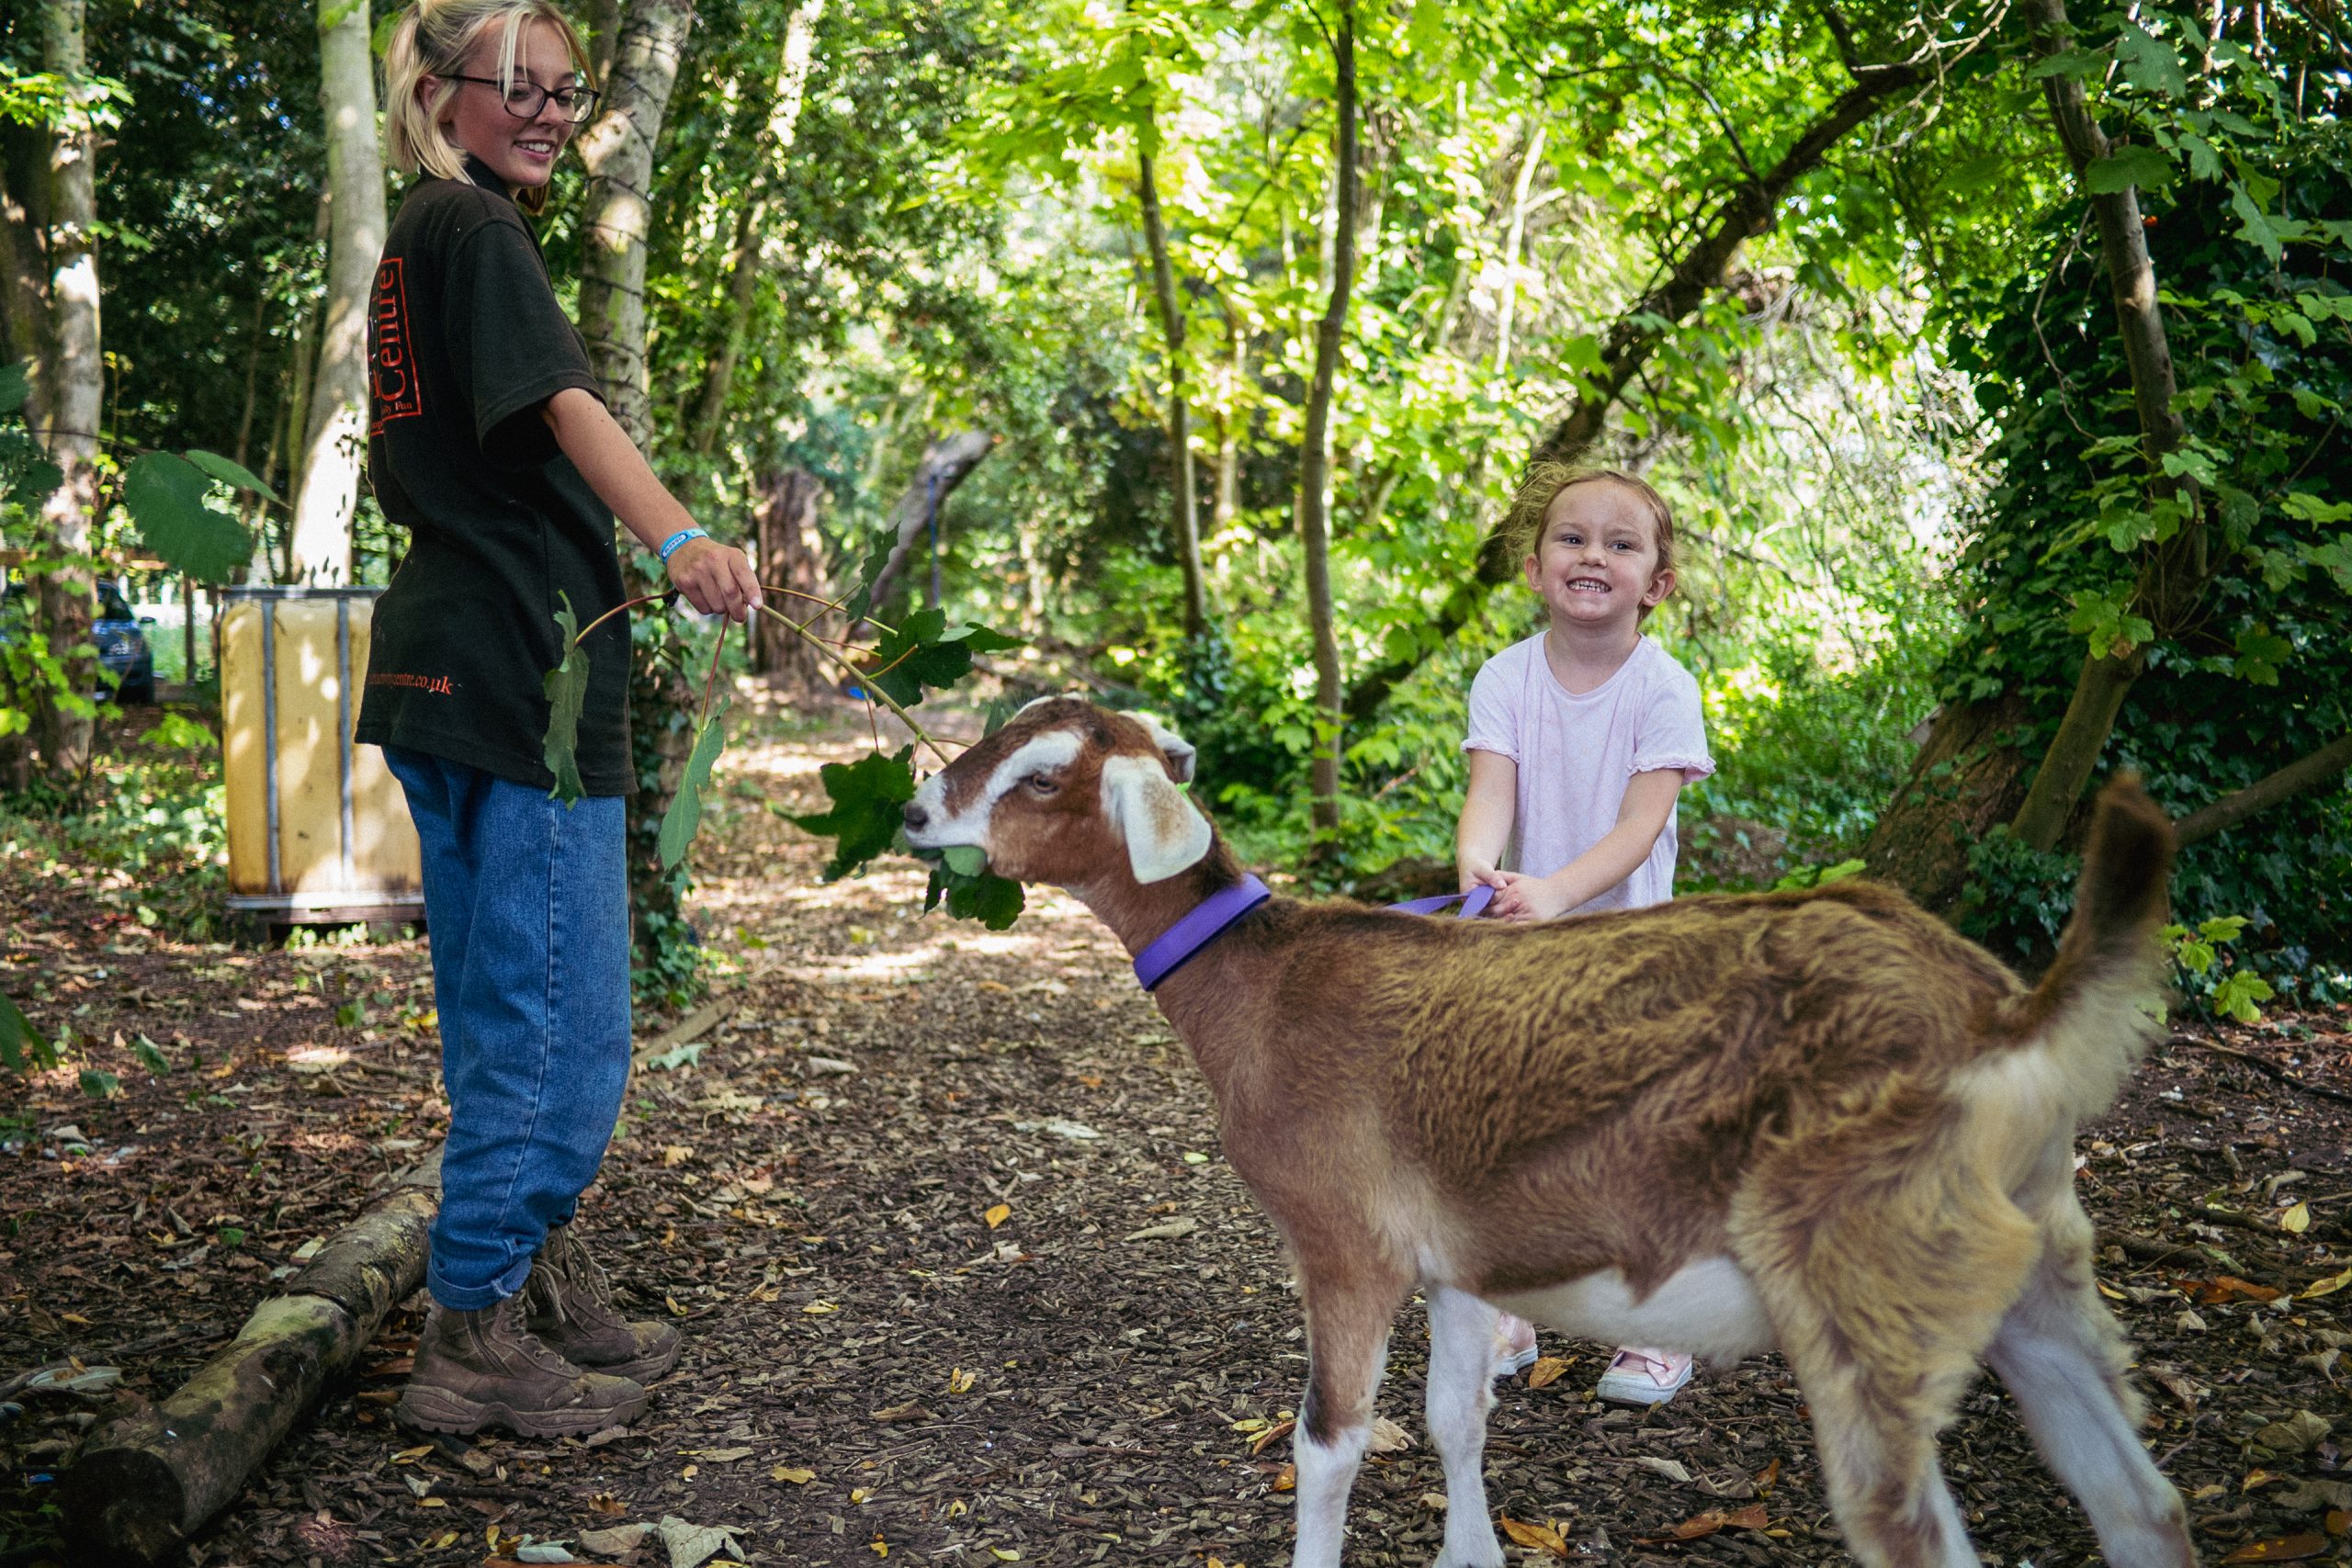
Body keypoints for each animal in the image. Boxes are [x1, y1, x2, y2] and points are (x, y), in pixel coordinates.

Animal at [900, 696, 2194, 1568]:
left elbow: (1331, 1439)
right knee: (2142, 1504)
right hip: (2034, 1263)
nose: (914, 809)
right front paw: (1471, 1553)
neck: (1261, 990)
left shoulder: (1346, 1241)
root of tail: (2001, 1016)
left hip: (1868, 1275)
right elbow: (1453, 1414)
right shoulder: (1460, 1252)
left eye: (1041, 778)